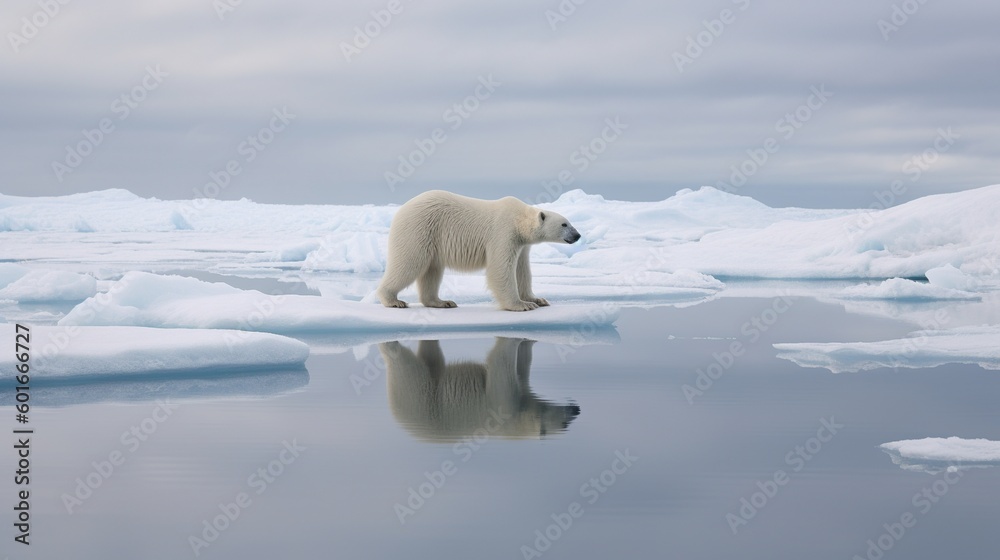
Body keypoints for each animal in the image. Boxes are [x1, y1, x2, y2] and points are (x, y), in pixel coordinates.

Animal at [376, 190, 581, 311]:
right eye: (564, 224)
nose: (578, 235)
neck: (518, 219)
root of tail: (401, 210)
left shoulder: (521, 244)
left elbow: (522, 270)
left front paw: (538, 299)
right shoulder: (503, 232)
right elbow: (501, 268)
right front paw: (522, 305)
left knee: (432, 271)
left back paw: (442, 302)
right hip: (419, 229)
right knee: (409, 263)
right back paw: (394, 300)